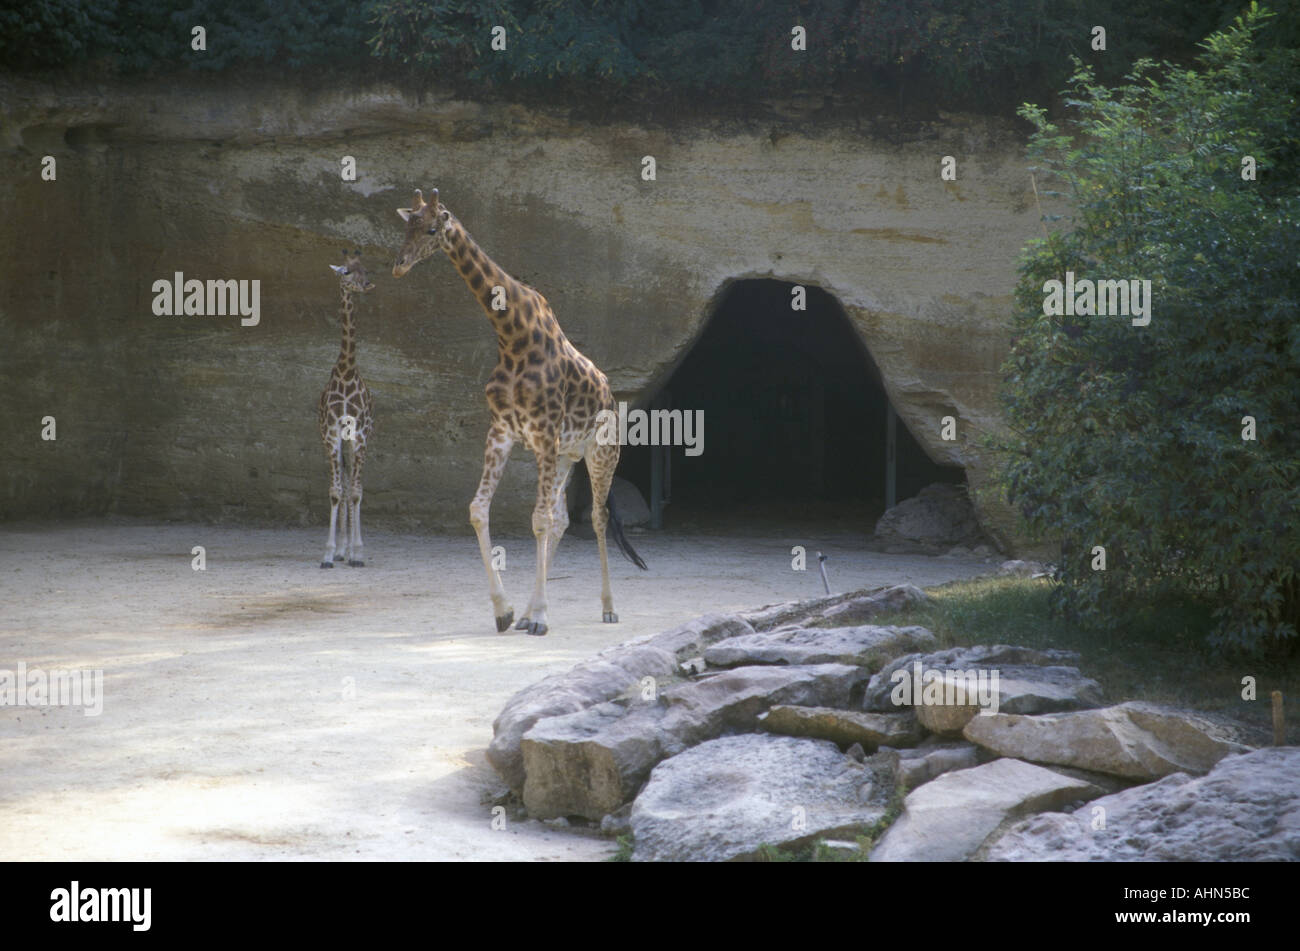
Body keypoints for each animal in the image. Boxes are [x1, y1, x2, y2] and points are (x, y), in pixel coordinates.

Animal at [392, 188, 646, 635]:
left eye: (432, 229)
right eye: (406, 226)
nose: (398, 265)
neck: (511, 335)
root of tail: (610, 395)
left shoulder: (543, 433)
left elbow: (538, 519)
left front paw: (541, 616)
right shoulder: (503, 431)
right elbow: (479, 510)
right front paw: (507, 611)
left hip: (600, 454)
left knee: (596, 518)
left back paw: (607, 607)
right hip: (565, 457)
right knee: (562, 517)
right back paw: (529, 612)